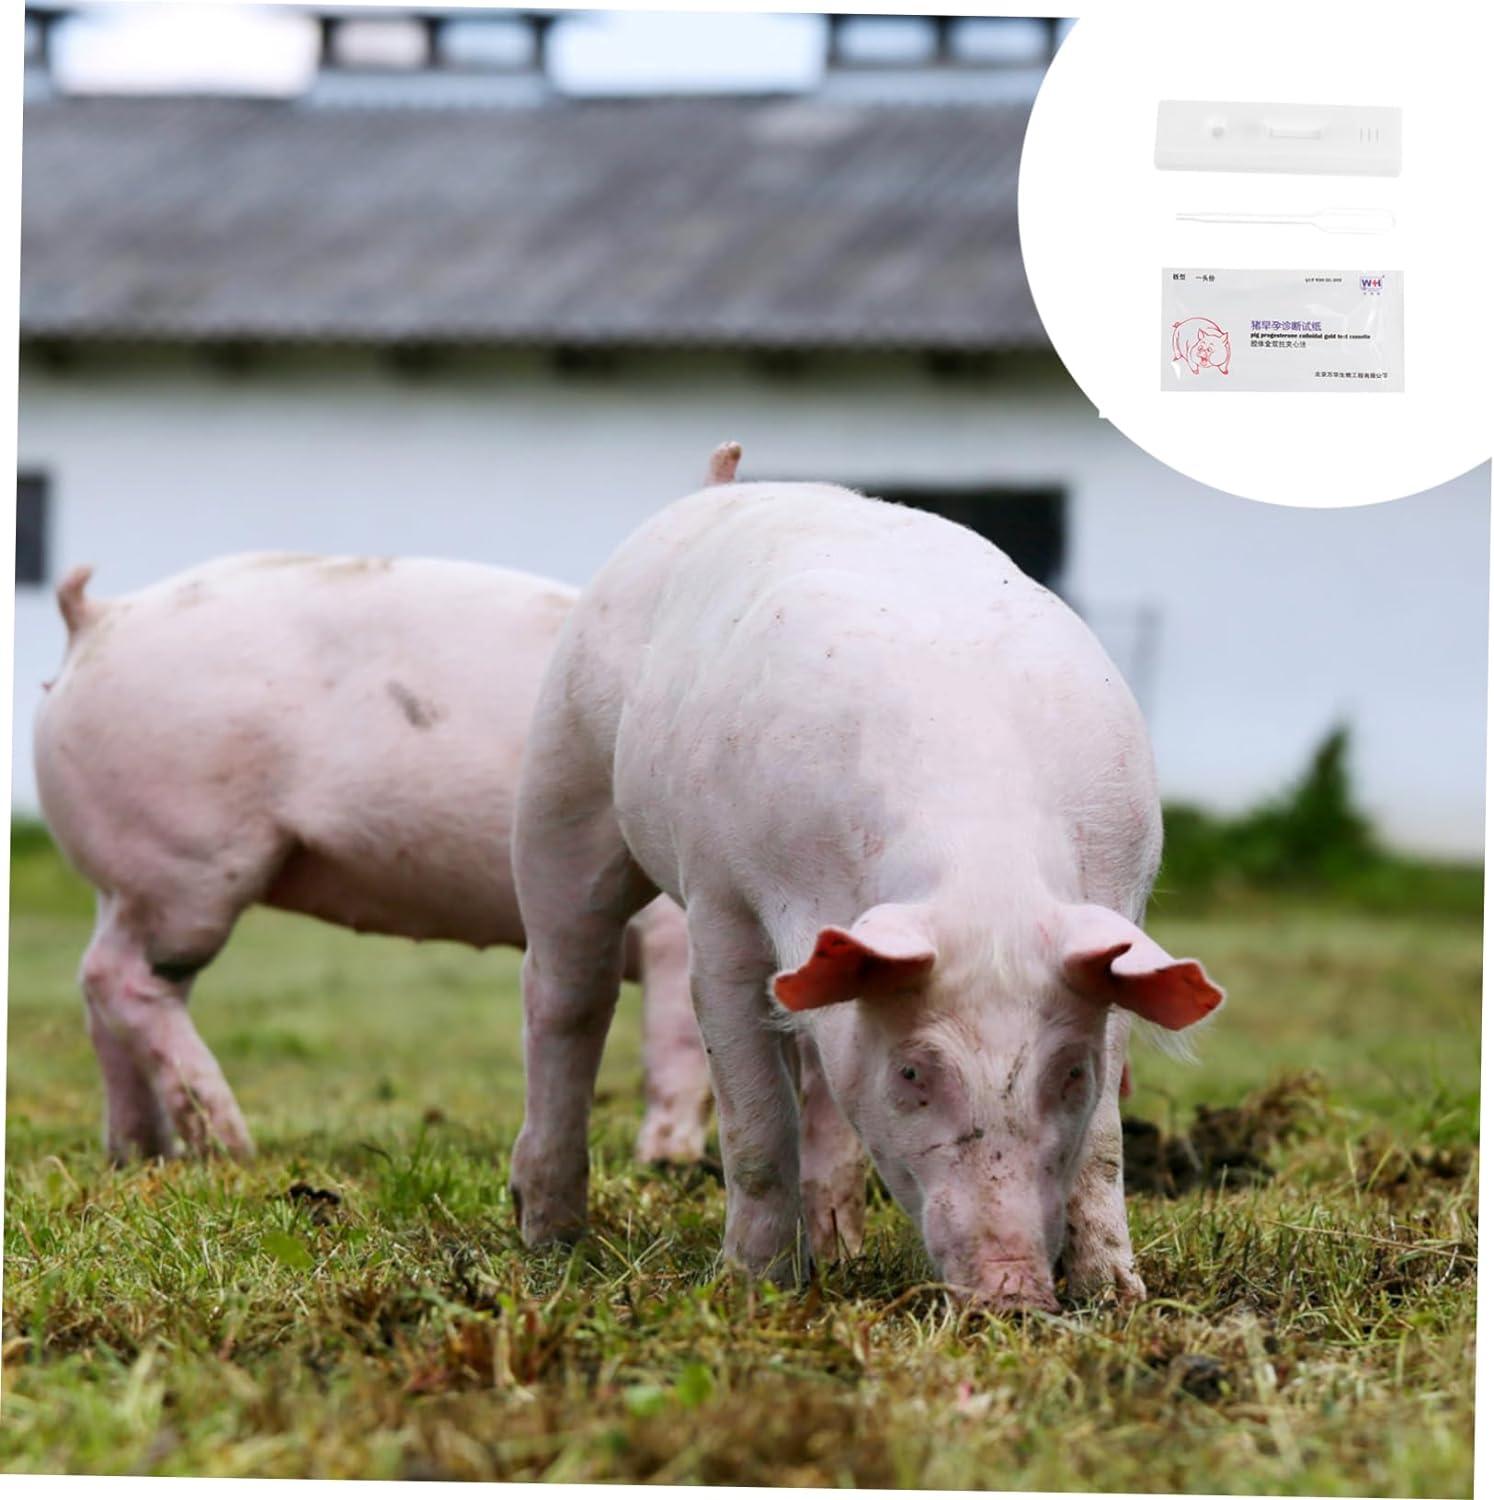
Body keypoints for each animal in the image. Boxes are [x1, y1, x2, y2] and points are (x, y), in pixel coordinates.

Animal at [33, 550, 712, 1167]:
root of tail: (98, 617)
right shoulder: (673, 926)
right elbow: (681, 1033)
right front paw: (670, 1160)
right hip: (187, 862)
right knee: (115, 977)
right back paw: (232, 1148)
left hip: (126, 879)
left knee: (103, 997)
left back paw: (141, 1152)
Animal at [508, 445, 1223, 1308]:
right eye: (914, 1068)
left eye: (1071, 1072)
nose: (1012, 1292)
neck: (980, 864)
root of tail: (717, 490)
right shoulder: (720, 900)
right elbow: (753, 1116)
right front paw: (755, 1288)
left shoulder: (1119, 906)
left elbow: (1106, 1141)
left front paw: (1118, 1294)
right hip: (562, 777)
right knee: (567, 991)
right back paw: (549, 1237)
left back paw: (839, 1249)